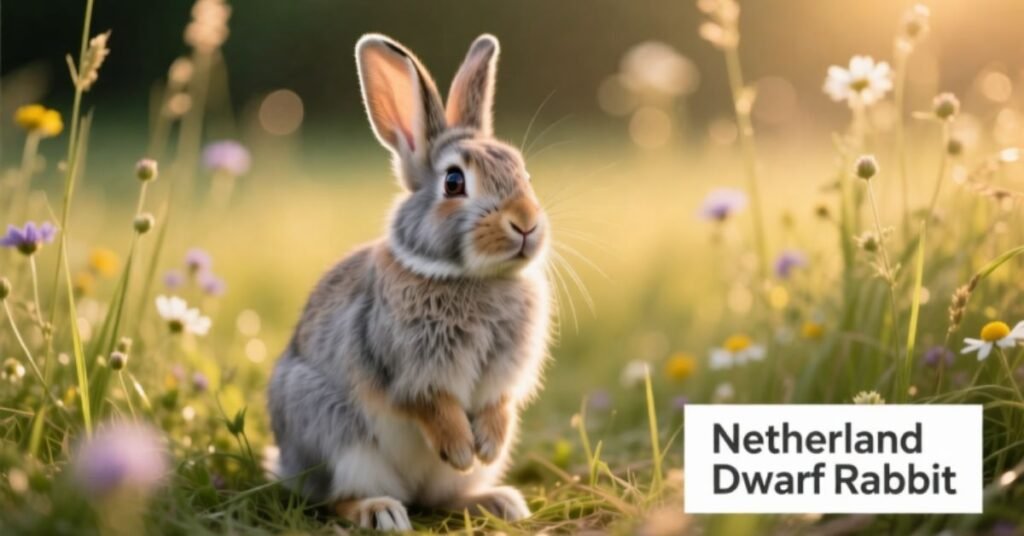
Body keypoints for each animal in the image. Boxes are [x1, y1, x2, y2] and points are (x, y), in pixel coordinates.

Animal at [267, 33, 551, 531]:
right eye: (454, 181)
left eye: (524, 173)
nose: (526, 224)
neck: (471, 277)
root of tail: (285, 465)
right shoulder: (403, 369)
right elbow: (431, 405)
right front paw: (461, 448)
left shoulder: (503, 380)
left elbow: (498, 404)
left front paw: (486, 446)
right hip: (336, 435)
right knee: (337, 498)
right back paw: (380, 512)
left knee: (440, 499)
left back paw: (498, 501)